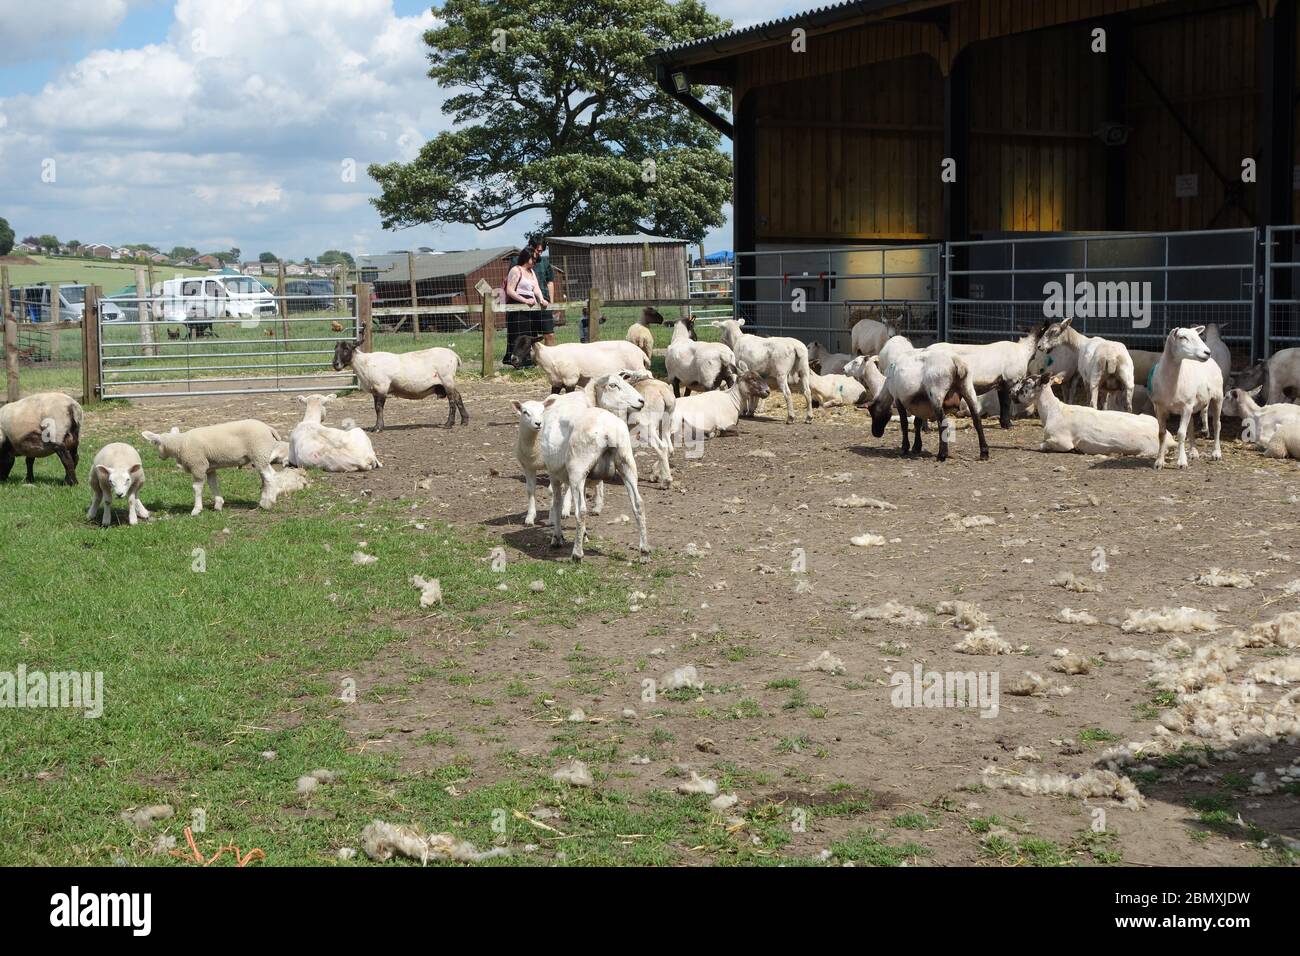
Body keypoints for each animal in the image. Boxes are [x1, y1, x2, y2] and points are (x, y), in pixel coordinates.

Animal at [140, 420, 283, 515]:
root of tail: (268, 428)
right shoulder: (209, 467)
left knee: (270, 477)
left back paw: (268, 503)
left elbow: (197, 488)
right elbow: (213, 484)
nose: (159, 457)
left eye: (155, 443)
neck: (180, 443)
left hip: (259, 453)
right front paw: (218, 504)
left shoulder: (198, 465)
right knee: (267, 477)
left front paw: (196, 510)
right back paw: (264, 501)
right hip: (261, 456)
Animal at [332, 339, 467, 431]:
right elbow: (376, 408)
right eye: (335, 349)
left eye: (346, 349)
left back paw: (448, 424)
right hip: (447, 382)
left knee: (452, 401)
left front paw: (378, 428)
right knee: (458, 397)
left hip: (446, 379)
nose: (335, 364)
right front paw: (377, 426)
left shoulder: (382, 386)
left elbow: (379, 408)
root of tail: (454, 356)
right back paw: (465, 421)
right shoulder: (375, 390)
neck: (364, 363)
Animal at [539, 383, 649, 562]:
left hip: (578, 468)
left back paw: (577, 554)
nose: (641, 401)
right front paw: (583, 535)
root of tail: (608, 430)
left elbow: (557, 502)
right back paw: (645, 552)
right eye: (614, 385)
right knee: (638, 504)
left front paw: (557, 538)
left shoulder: (554, 474)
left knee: (581, 510)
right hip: (627, 463)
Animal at [1010, 373, 1175, 458]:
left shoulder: (1061, 441)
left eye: (1027, 383)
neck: (1054, 411)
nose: (1011, 392)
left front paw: (1076, 450)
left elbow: (1042, 445)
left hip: (1147, 450)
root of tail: (1171, 440)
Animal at [1149, 325, 1223, 469]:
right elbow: (1161, 434)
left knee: (1217, 424)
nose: (1207, 352)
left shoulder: (1186, 407)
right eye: (1183, 337)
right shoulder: (1159, 408)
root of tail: (1213, 361)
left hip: (1218, 397)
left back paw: (1216, 453)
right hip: (1192, 404)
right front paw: (1159, 461)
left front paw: (1182, 462)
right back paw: (1193, 452)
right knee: (1191, 426)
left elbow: (1181, 433)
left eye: (1199, 336)